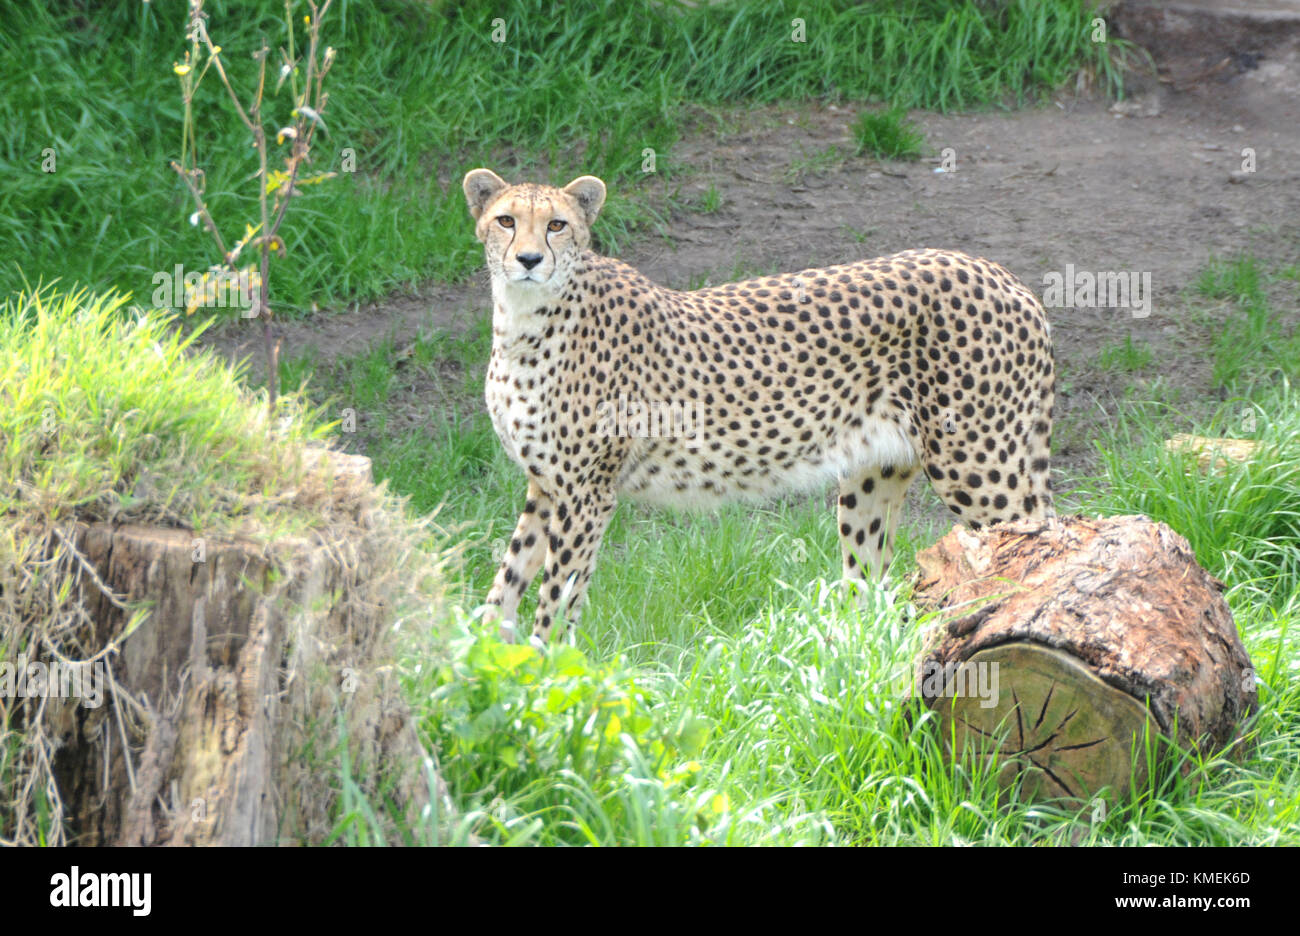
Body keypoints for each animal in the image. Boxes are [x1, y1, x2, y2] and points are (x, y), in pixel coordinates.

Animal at [462, 168, 1055, 648]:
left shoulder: (586, 492)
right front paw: (488, 662)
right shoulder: (546, 487)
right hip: (875, 474)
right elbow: (507, 579)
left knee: (1041, 547)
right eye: (506, 220)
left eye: (557, 225)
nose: (529, 260)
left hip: (979, 468)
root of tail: (1001, 274)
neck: (523, 321)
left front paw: (547, 666)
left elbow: (557, 594)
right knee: (870, 588)